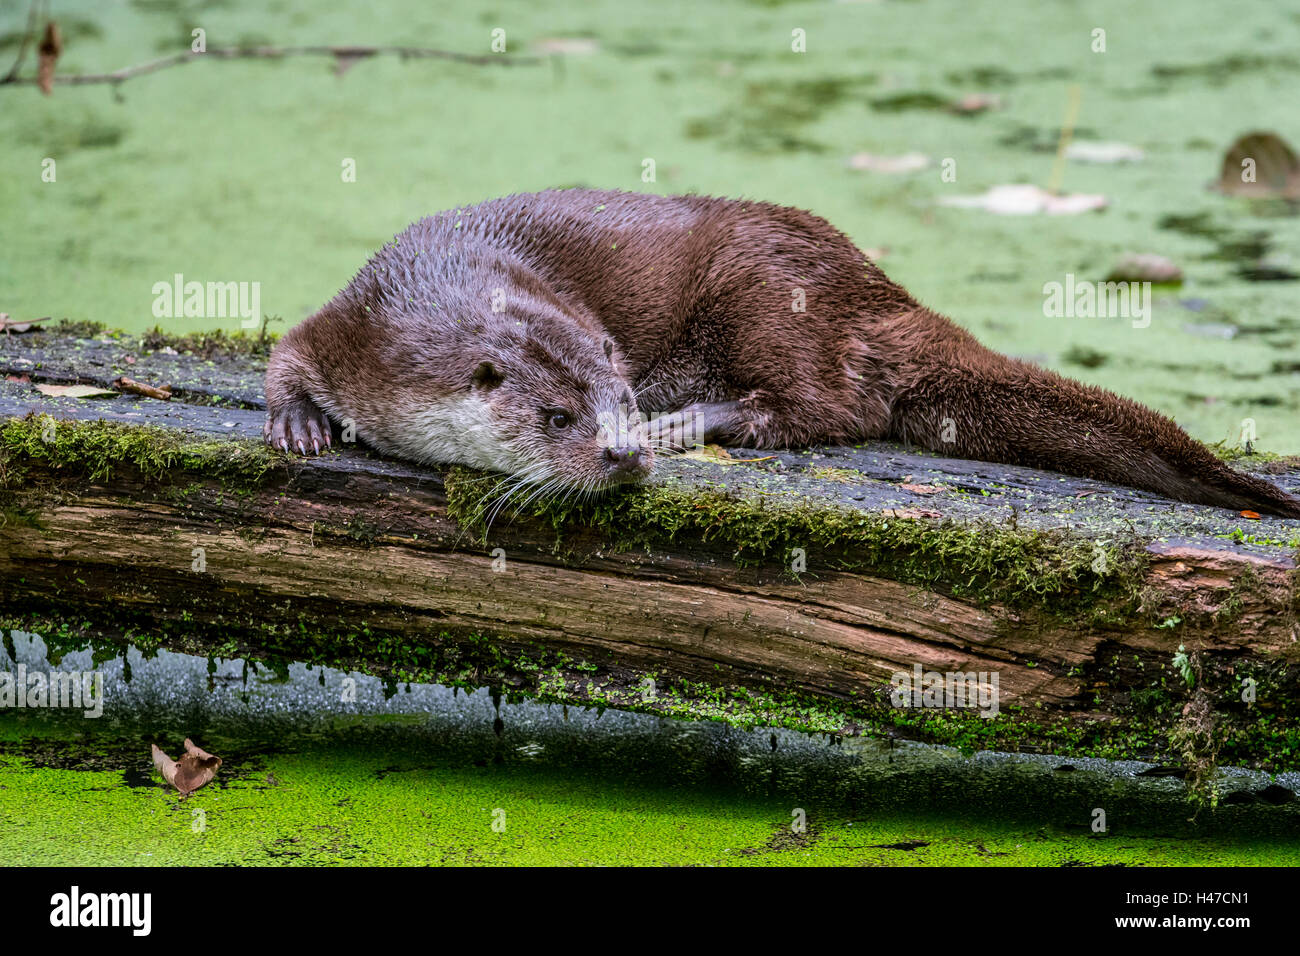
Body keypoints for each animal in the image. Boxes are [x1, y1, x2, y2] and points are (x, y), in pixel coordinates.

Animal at [264, 188, 1300, 518]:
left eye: (620, 399)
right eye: (558, 416)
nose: (625, 449)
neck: (439, 293)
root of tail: (879, 288)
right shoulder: (351, 322)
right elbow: (284, 354)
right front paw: (300, 422)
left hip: (763, 283)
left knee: (833, 404)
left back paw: (700, 417)